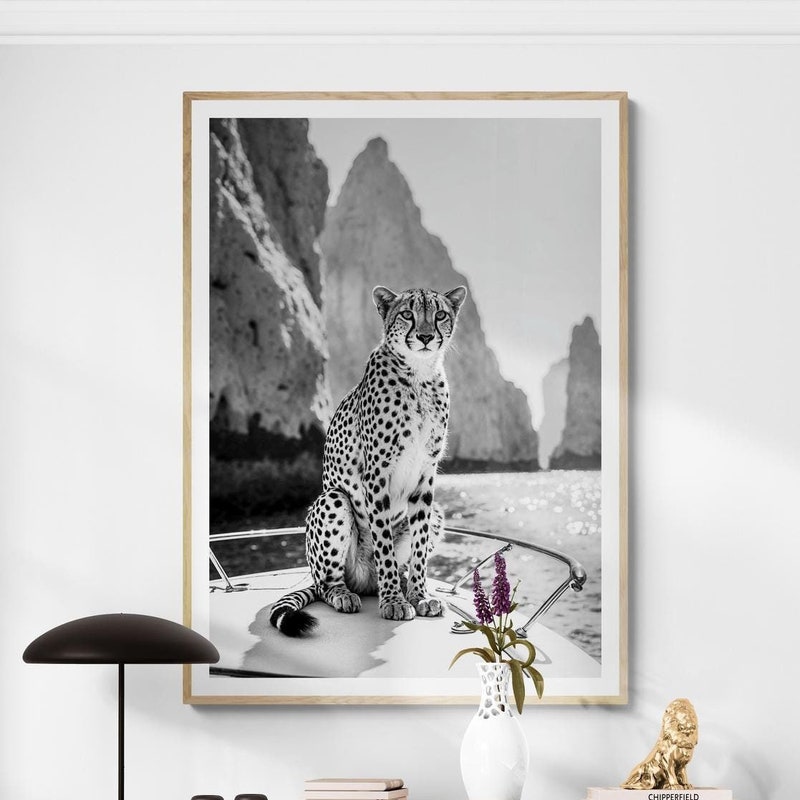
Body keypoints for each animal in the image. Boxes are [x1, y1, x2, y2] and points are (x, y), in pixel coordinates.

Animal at [270, 284, 467, 636]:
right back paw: (347, 594)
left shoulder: (426, 475)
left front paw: (419, 594)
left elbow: (418, 547)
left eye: (441, 314)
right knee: (327, 583)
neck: (420, 374)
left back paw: (401, 584)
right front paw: (394, 602)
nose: (426, 336)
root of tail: (365, 582)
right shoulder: (377, 474)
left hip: (437, 511)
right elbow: (384, 544)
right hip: (333, 502)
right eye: (407, 314)